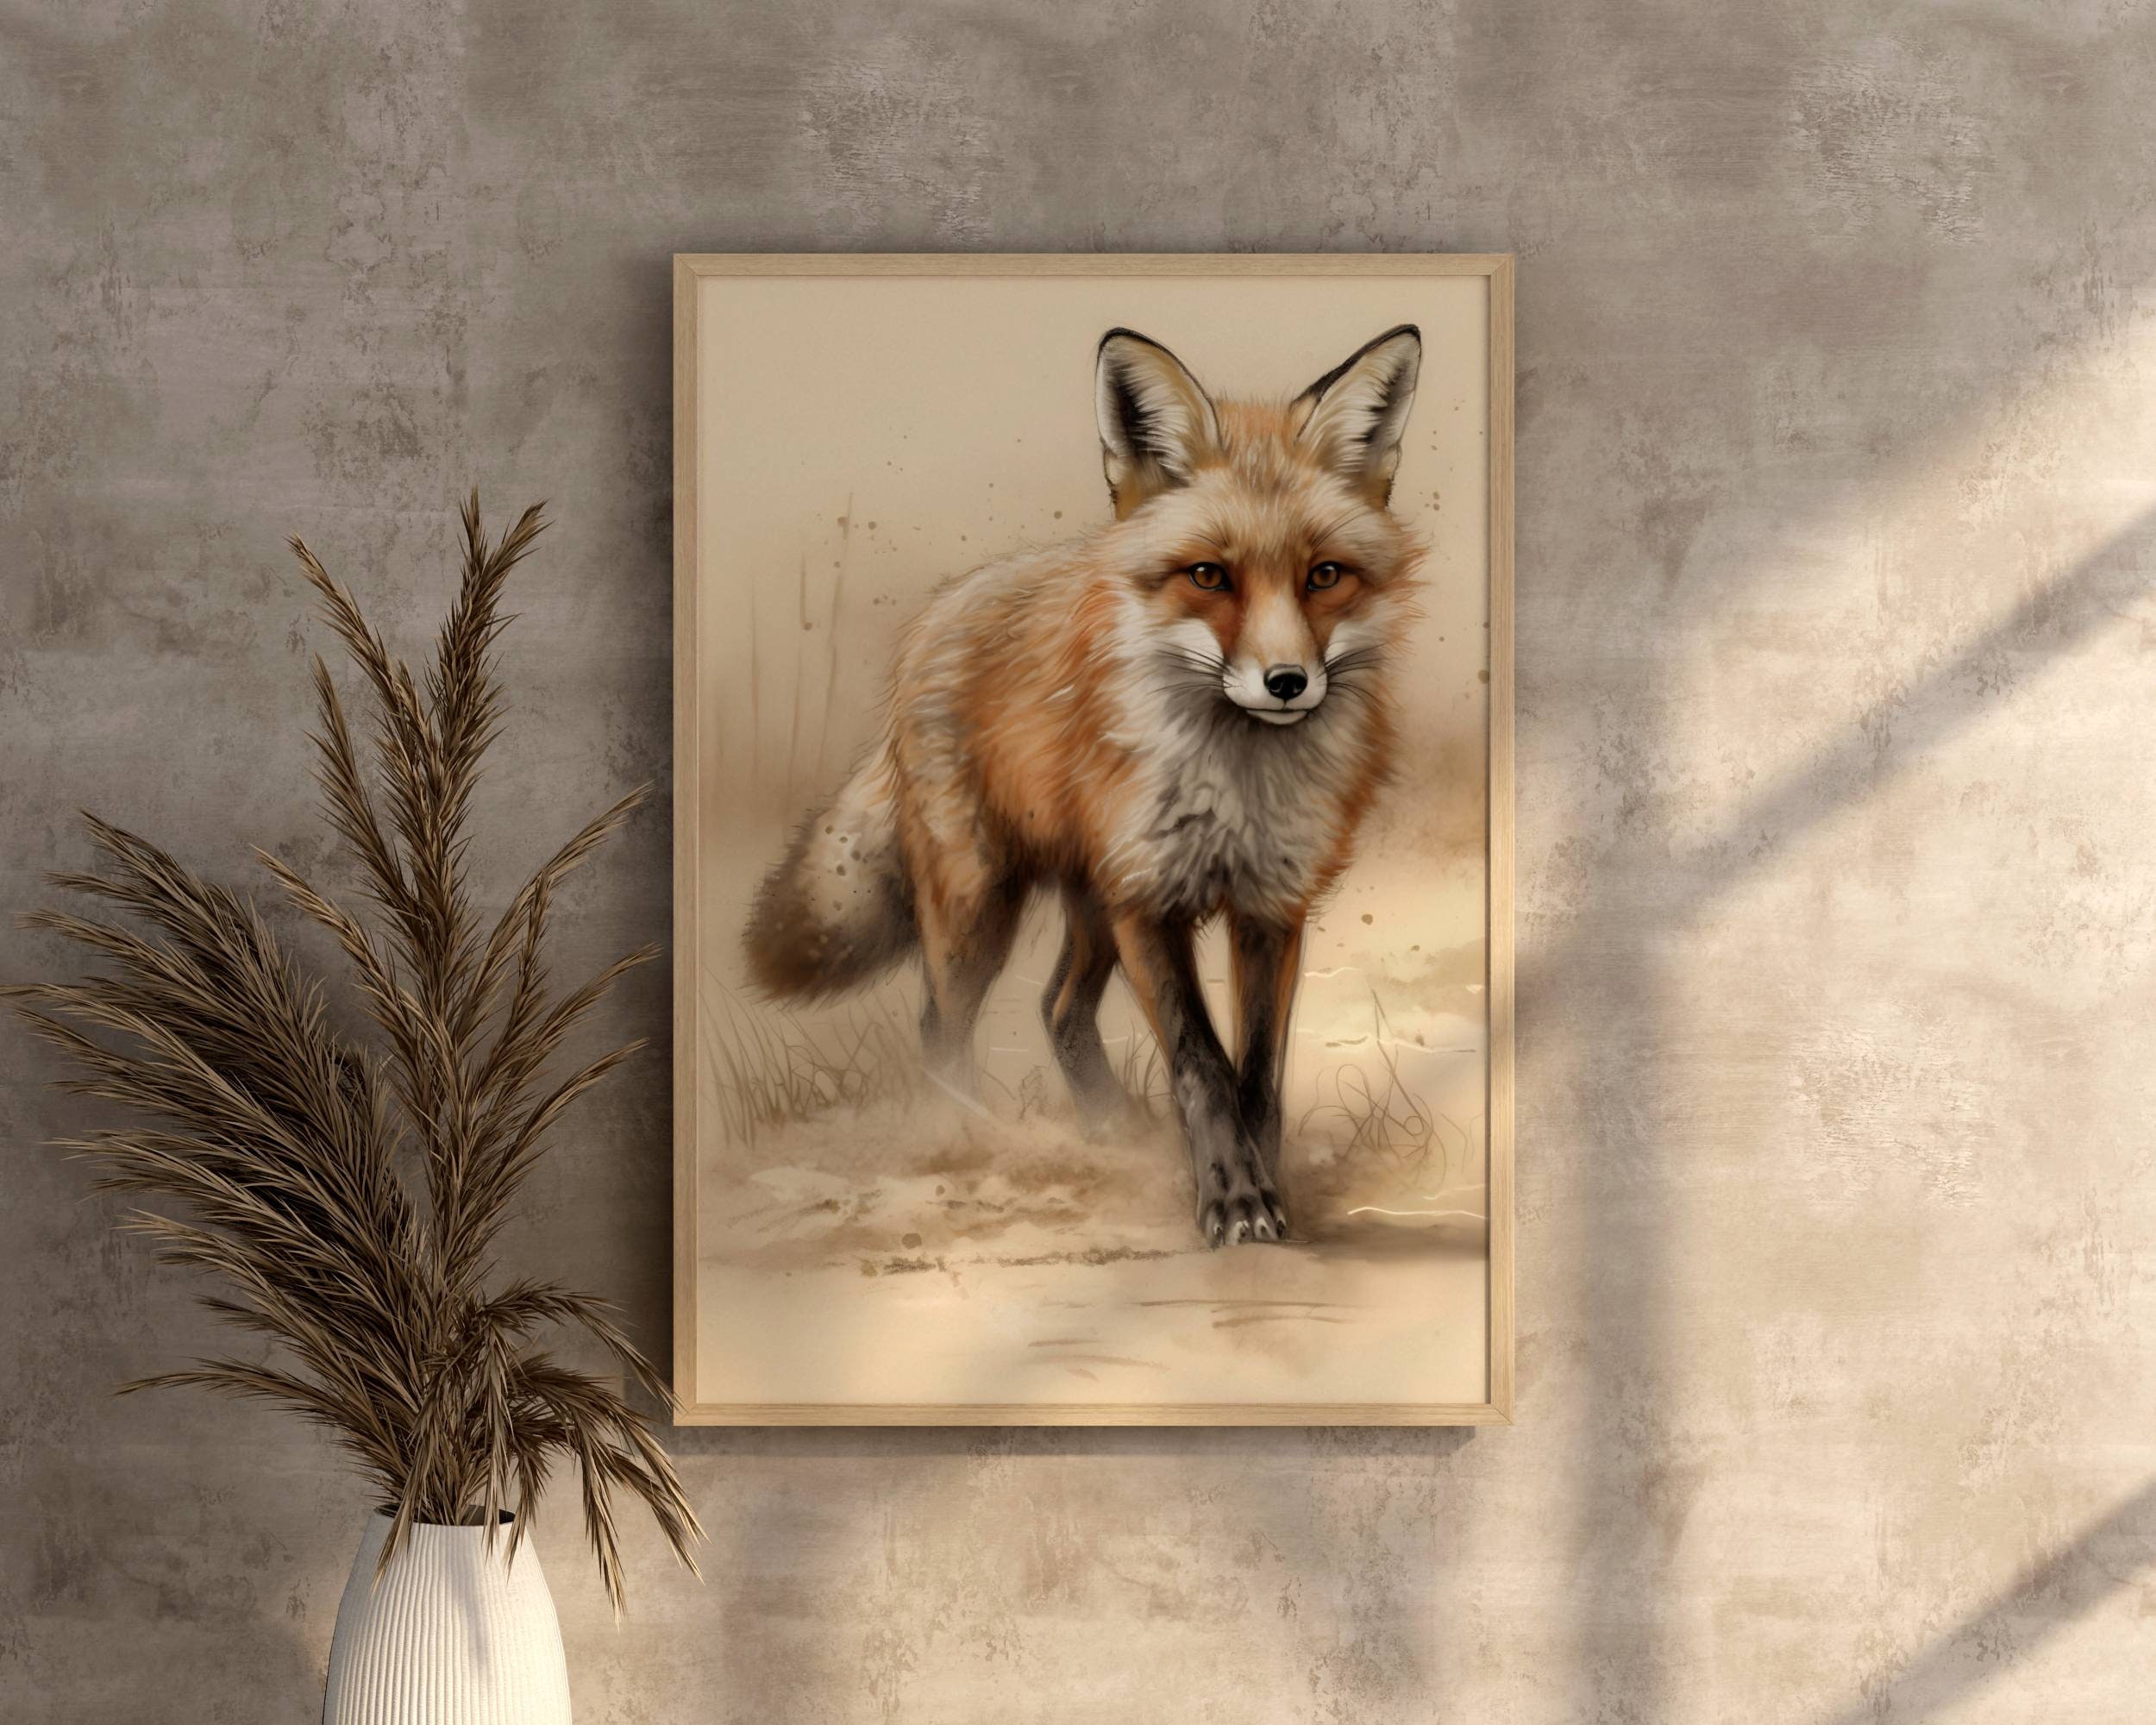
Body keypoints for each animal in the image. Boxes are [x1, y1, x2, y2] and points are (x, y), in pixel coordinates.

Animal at [743, 323, 1425, 1247]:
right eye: (1209, 576)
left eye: (1324, 575)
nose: (1287, 683)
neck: (1236, 786)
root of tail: (935, 615)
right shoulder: (1148, 901)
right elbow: (1202, 1067)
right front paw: (1232, 1200)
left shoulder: (1269, 906)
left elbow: (1258, 1078)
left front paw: (1265, 1190)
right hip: (980, 905)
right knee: (939, 1028)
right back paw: (970, 1140)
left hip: (1089, 903)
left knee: (1057, 1011)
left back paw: (1112, 1131)